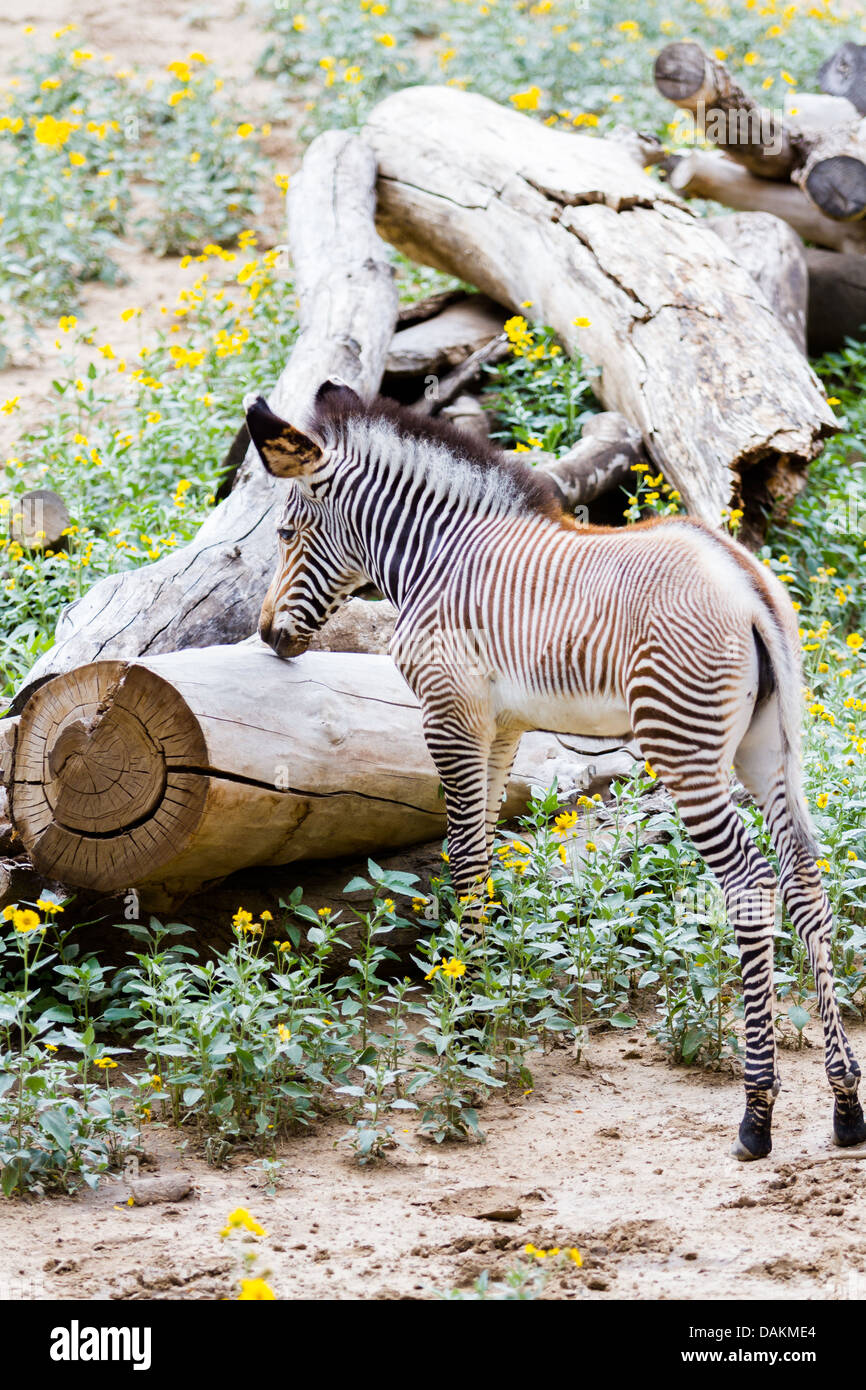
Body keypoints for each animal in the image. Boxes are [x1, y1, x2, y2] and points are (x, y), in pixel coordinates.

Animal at [245, 379, 866, 1162]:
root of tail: (745, 582)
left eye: (284, 535)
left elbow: (463, 859)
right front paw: (477, 1009)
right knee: (806, 882)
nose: (268, 635)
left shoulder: (447, 714)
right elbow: (479, 856)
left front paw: (460, 1025)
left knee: (750, 884)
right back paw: (845, 1106)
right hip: (769, 750)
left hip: (684, 747)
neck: (438, 554)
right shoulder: (499, 727)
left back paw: (756, 1115)